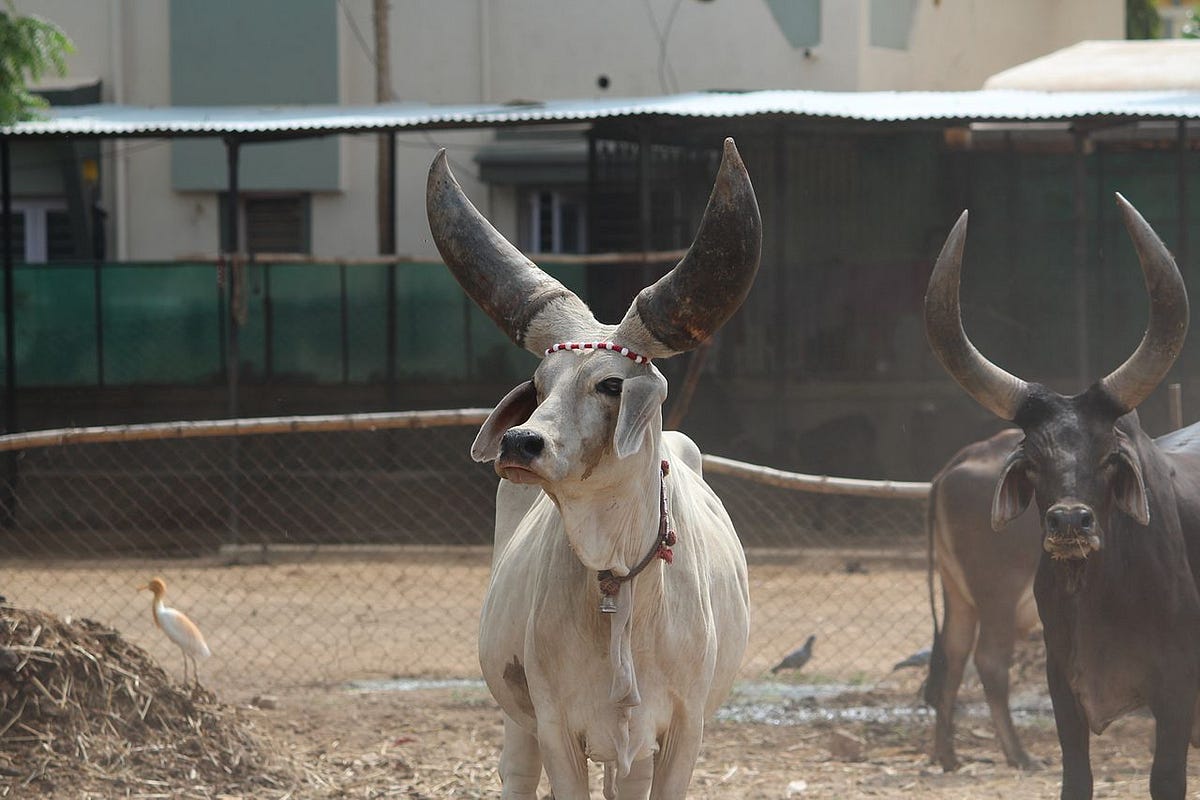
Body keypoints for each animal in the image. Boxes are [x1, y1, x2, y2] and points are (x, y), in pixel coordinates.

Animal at [426, 138, 760, 799]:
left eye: (610, 384)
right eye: (540, 384)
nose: (520, 443)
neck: (617, 579)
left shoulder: (681, 731)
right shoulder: (558, 727)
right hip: (519, 718)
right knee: (516, 770)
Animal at [924, 428, 1043, 772]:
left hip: (956, 593)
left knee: (954, 655)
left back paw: (948, 755)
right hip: (999, 595)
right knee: (990, 662)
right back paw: (1019, 755)